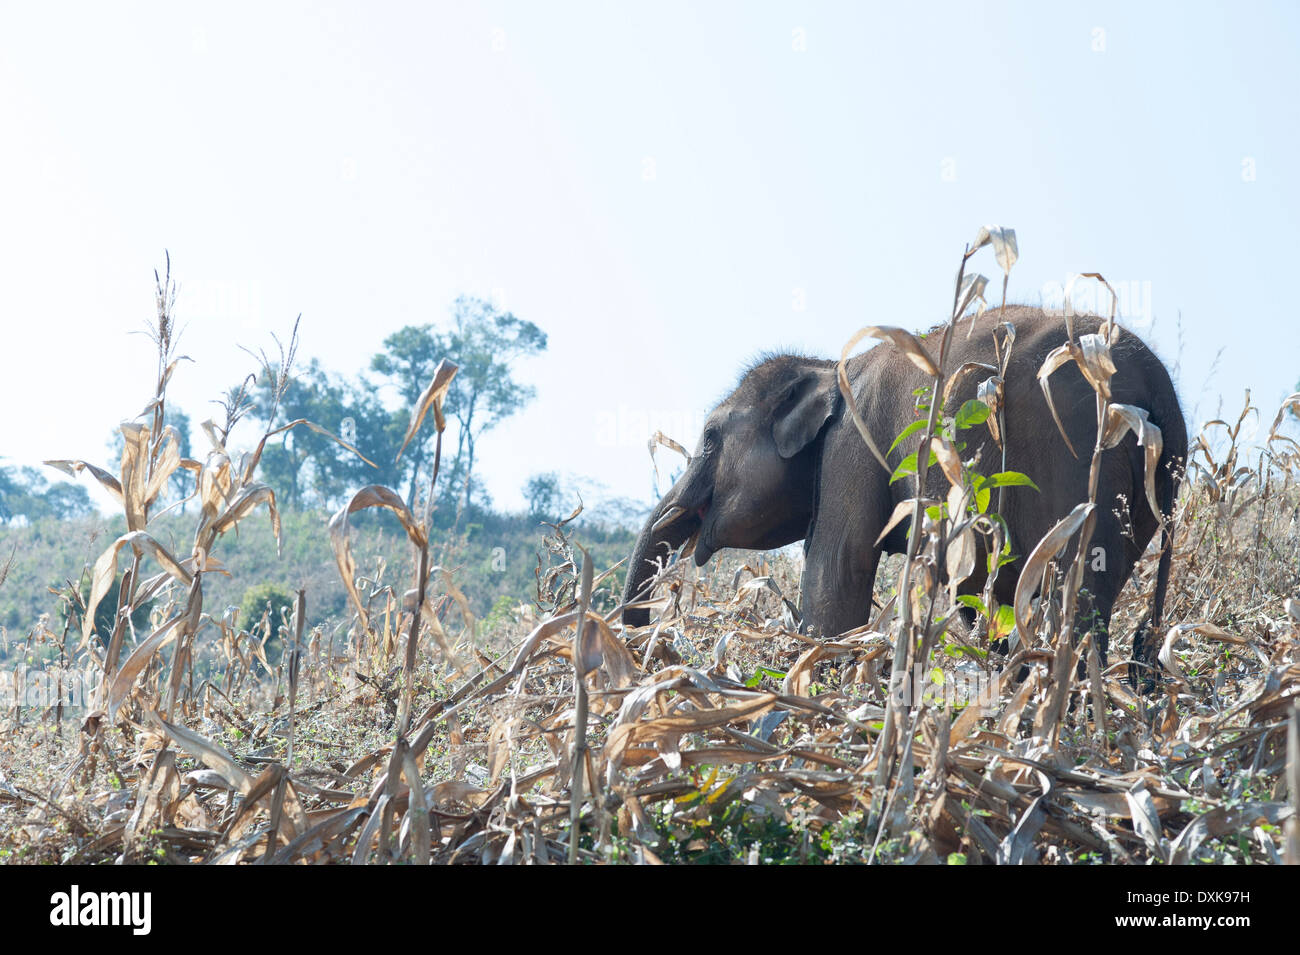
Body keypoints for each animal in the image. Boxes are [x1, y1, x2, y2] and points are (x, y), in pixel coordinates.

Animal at [621, 306, 1187, 667]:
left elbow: (838, 573)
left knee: (1076, 590)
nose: (651, 646)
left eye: (710, 438)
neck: (829, 369)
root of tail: (1157, 389)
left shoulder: (852, 445)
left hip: (1080, 463)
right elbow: (979, 588)